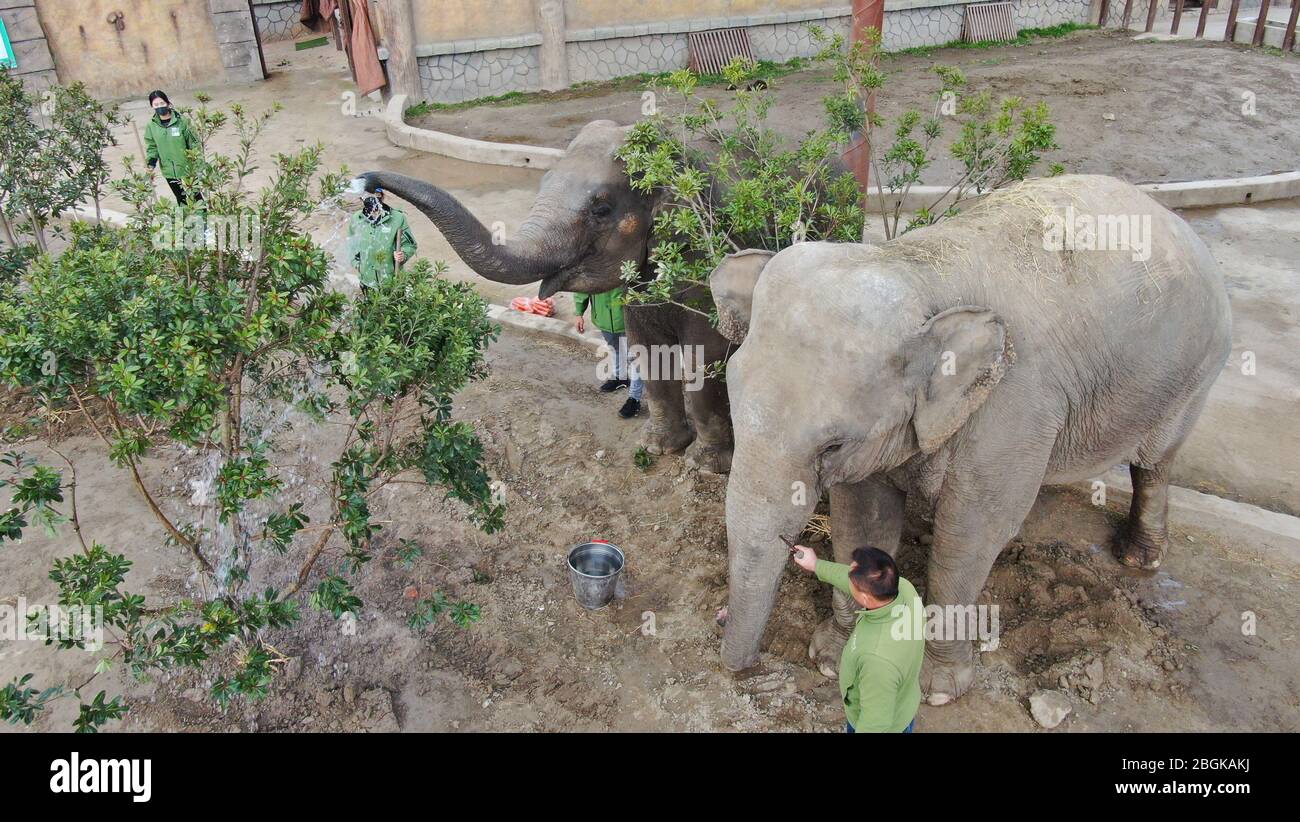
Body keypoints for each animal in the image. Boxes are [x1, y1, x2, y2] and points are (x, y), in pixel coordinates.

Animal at [355, 120, 737, 472]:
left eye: (601, 210)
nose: (367, 182)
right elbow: (646, 347)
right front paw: (658, 448)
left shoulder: (706, 261)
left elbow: (706, 354)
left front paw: (705, 466)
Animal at [709, 174, 1231, 705]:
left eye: (831, 446)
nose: (738, 668)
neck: (916, 266)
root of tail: (1170, 216)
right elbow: (862, 516)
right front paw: (832, 658)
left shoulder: (1014, 407)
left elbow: (970, 531)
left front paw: (937, 690)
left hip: (1196, 370)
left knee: (1157, 460)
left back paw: (1138, 556)